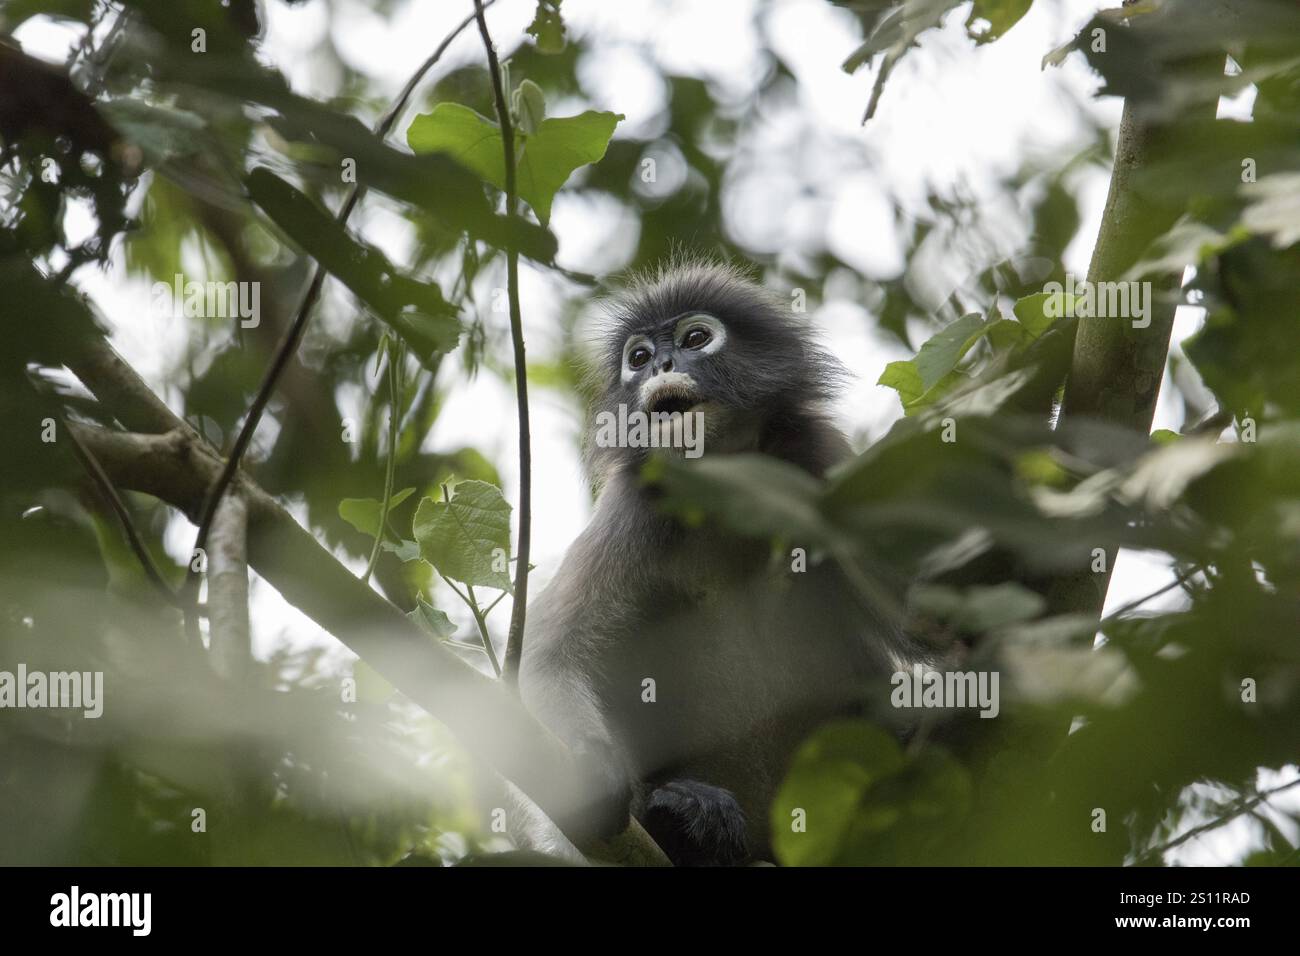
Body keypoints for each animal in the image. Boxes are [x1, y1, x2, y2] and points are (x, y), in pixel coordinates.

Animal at [518, 261, 914, 865]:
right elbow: (551, 652)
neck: (728, 492)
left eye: (695, 339)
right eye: (638, 357)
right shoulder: (637, 505)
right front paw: (592, 765)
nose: (661, 365)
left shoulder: (818, 461)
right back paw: (686, 820)